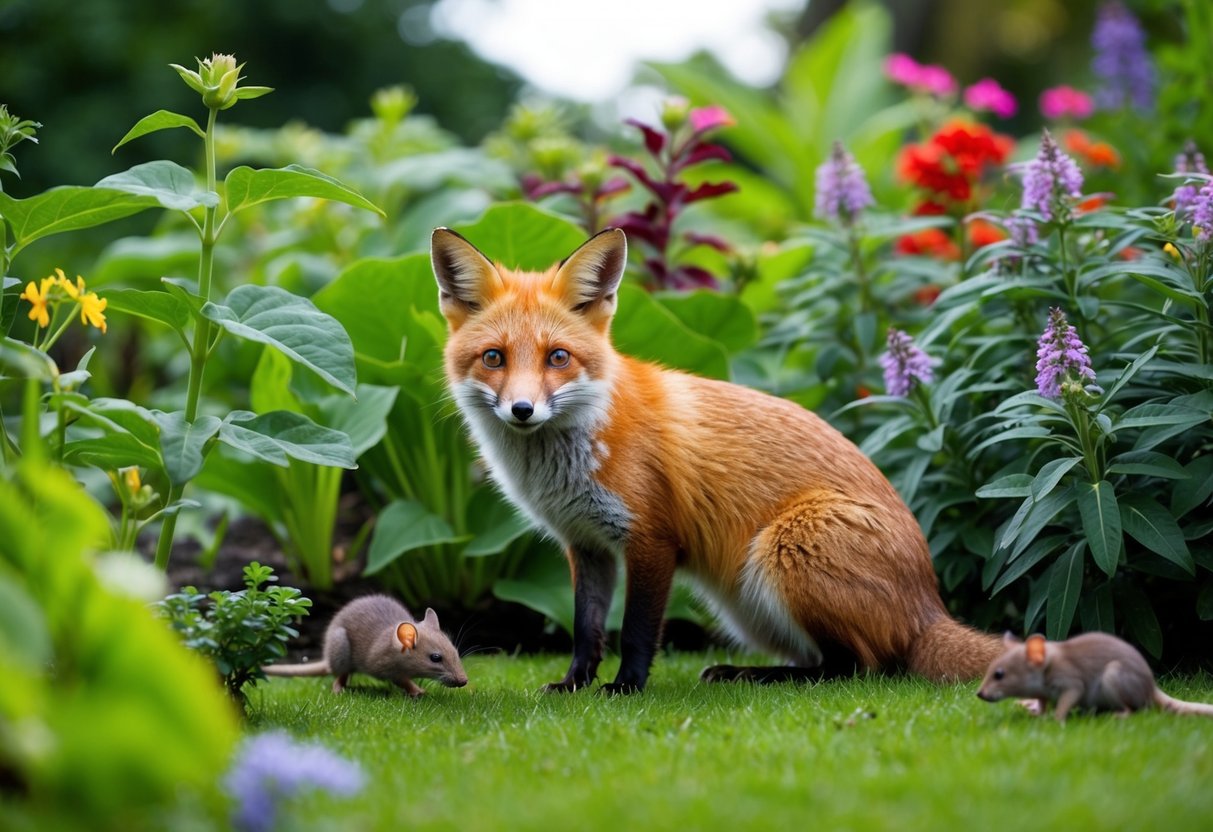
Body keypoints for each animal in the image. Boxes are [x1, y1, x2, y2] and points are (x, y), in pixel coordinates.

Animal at [431, 226, 1001, 694]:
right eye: (494, 358)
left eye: (558, 358)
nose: (522, 410)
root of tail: (929, 603)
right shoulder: (586, 544)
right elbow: (585, 630)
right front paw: (574, 684)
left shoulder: (652, 538)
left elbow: (636, 630)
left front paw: (625, 687)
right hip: (746, 605)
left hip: (785, 550)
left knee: (857, 667)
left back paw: (758, 677)